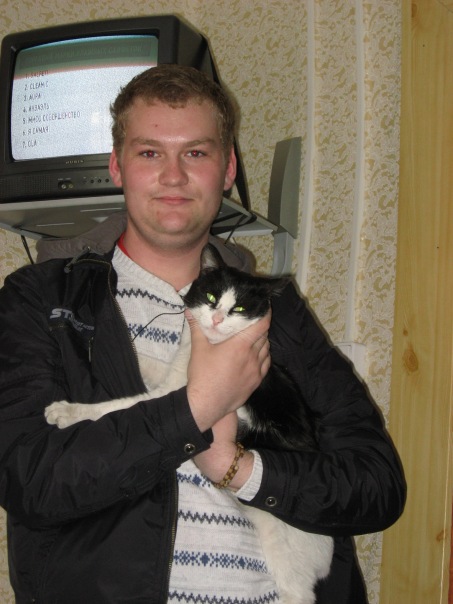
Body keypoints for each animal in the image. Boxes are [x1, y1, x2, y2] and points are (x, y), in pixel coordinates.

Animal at [45, 244, 333, 604]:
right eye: (211, 296)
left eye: (239, 307)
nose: (217, 318)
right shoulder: (175, 379)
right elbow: (150, 371)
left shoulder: (182, 396)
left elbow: (123, 405)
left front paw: (67, 412)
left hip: (286, 552)